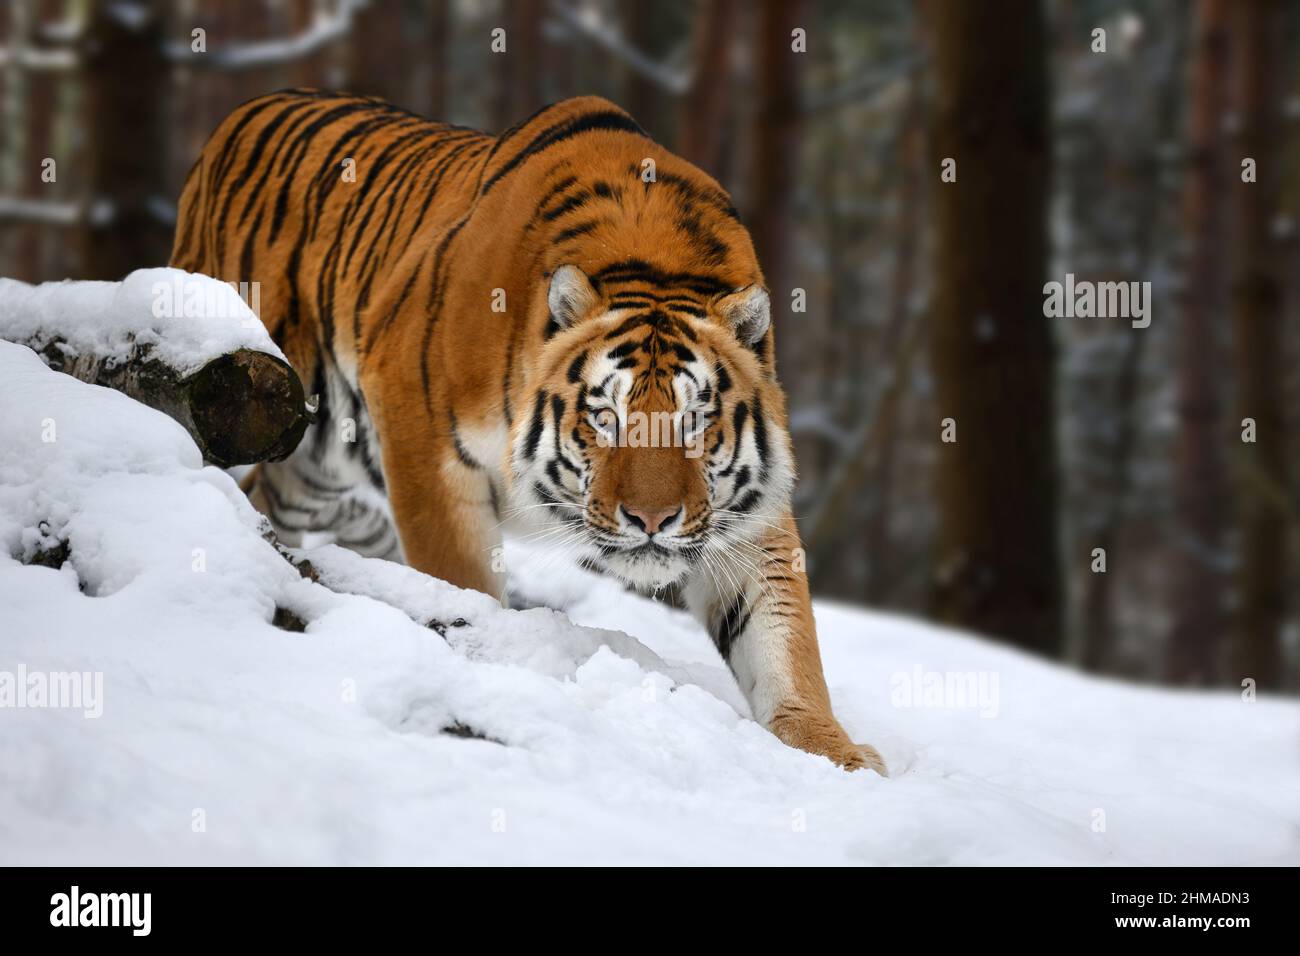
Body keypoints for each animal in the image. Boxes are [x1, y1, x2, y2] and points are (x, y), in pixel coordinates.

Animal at [171, 89, 886, 774]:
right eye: (605, 418)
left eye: (695, 421)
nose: (651, 520)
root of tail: (240, 114)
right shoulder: (424, 442)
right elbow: (461, 578)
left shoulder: (744, 513)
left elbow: (782, 636)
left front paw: (835, 752)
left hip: (307, 452)